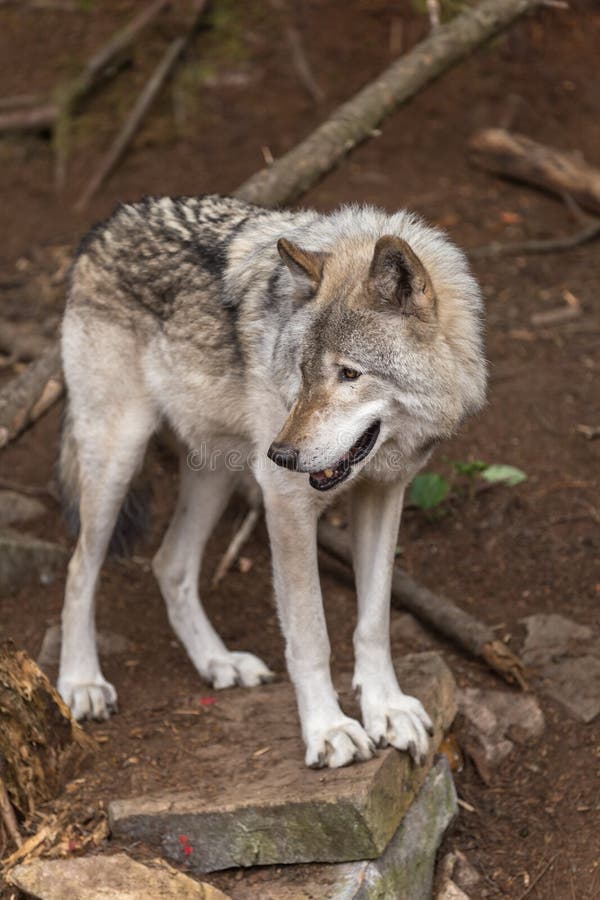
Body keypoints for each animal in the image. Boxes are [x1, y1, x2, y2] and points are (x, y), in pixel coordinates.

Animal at [58, 194, 486, 768]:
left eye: (349, 374)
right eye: (302, 372)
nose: (281, 454)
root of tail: (105, 223)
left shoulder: (384, 494)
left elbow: (373, 621)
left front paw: (387, 709)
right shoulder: (285, 504)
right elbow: (310, 636)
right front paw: (330, 729)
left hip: (217, 471)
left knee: (169, 564)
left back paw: (219, 662)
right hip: (118, 457)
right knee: (80, 568)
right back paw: (81, 682)